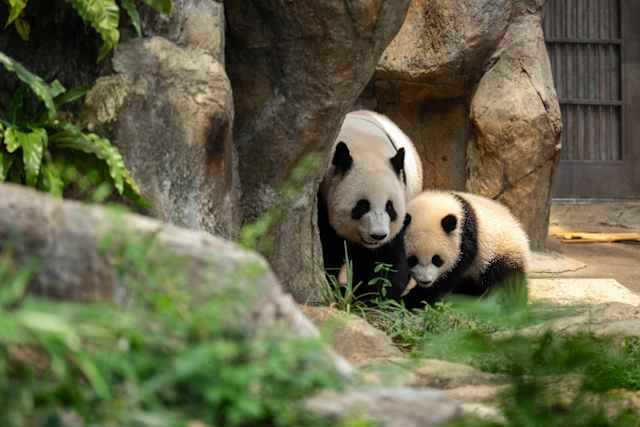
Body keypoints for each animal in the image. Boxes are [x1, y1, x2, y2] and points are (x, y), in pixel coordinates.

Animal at [318, 110, 423, 300]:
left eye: (390, 207)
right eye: (362, 206)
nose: (378, 235)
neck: (367, 149)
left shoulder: (402, 197)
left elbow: (390, 260)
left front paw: (372, 297)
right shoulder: (323, 195)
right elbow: (328, 248)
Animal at [401, 191, 530, 308]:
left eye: (437, 260)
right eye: (412, 260)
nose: (425, 281)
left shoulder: (465, 239)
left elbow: (449, 275)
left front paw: (414, 300)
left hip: (501, 251)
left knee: (506, 281)